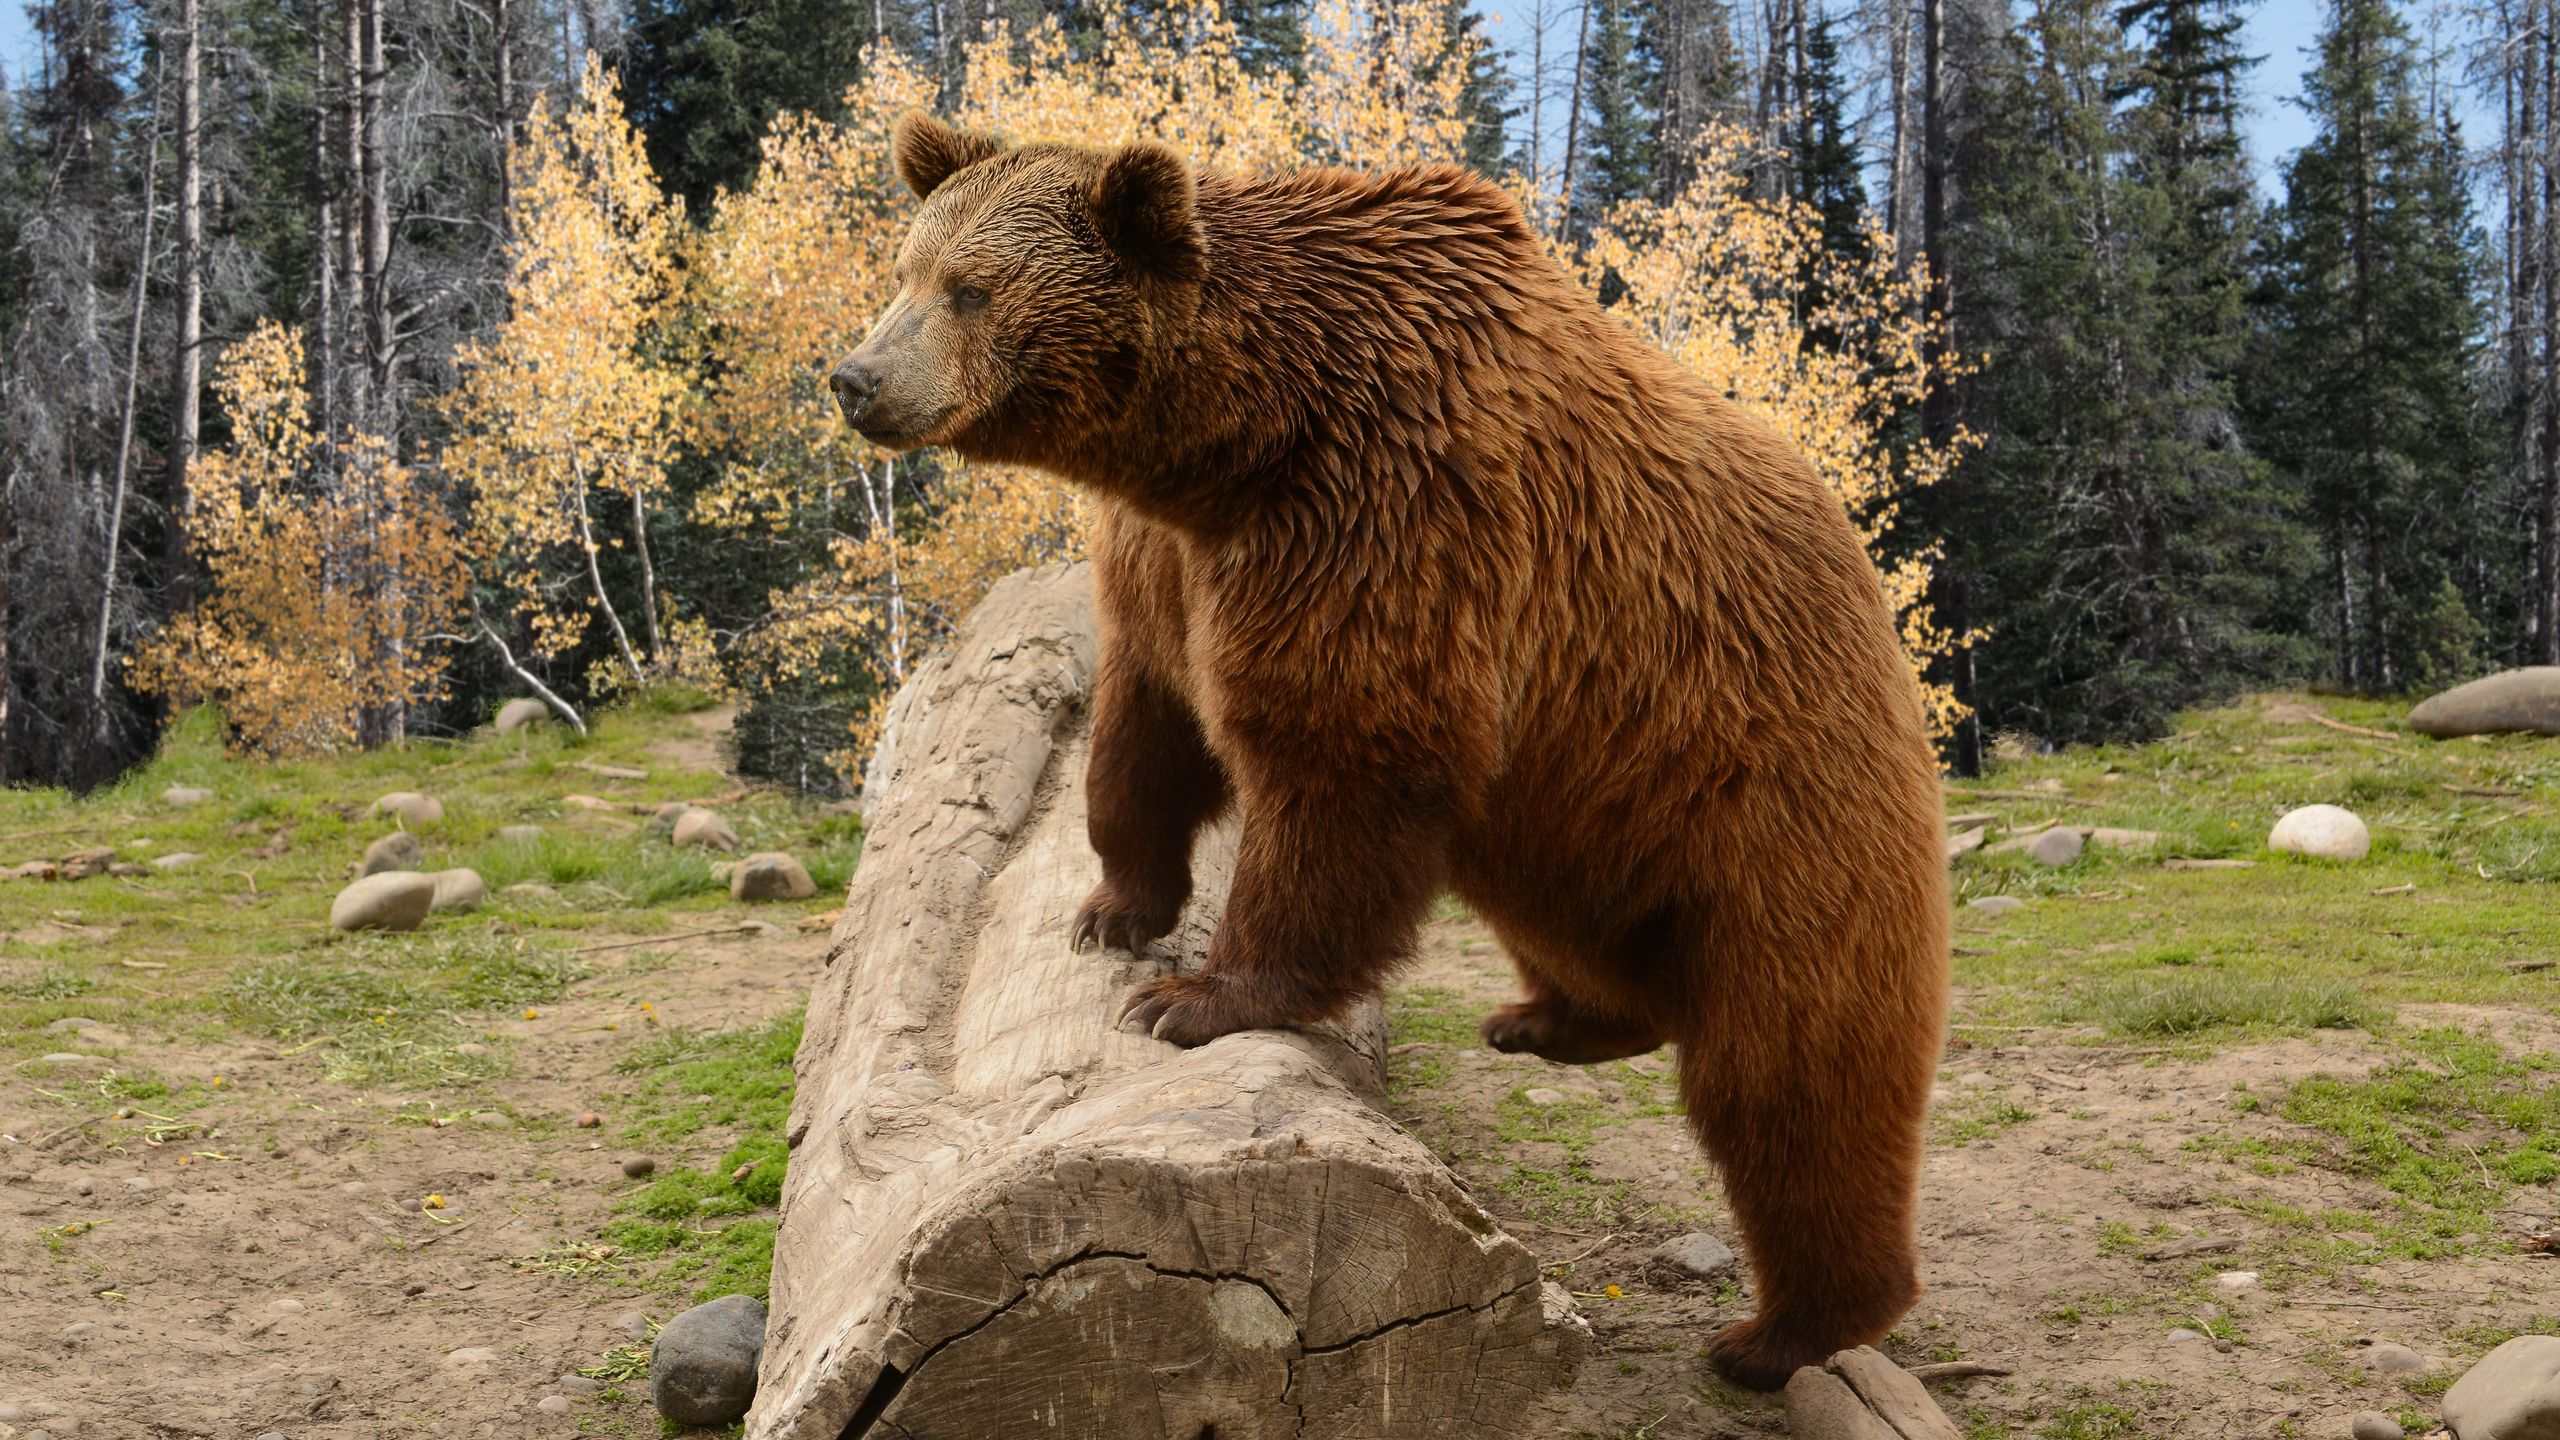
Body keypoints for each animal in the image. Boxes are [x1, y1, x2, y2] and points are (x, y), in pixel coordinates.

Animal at [830, 111, 1952, 1392]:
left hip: (1770, 791)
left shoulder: (1388, 522)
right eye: (906, 268)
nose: (856, 379)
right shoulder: (1171, 564)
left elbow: (1339, 767)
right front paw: (1113, 910)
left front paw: (1195, 998)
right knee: (1579, 927)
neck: (1235, 443)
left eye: (970, 288)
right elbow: (1143, 732)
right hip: (1582, 804)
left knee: (1791, 1079)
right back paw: (1553, 1021)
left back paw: (1781, 1331)